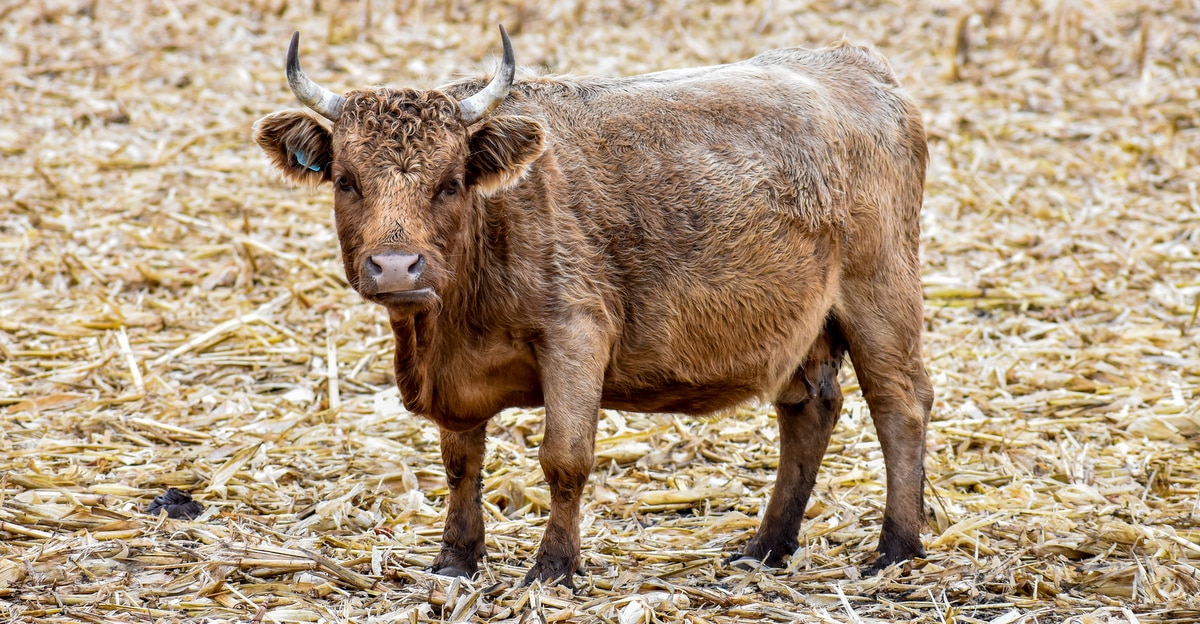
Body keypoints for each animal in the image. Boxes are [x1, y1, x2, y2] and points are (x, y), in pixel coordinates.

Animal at [254, 26, 934, 587]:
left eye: (450, 183)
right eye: (347, 181)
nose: (396, 266)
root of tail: (859, 66)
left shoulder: (575, 338)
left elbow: (565, 458)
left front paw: (553, 566)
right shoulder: (456, 382)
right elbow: (460, 465)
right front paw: (456, 559)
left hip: (880, 298)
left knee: (900, 405)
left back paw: (896, 548)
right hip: (809, 328)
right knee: (810, 411)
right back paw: (766, 547)